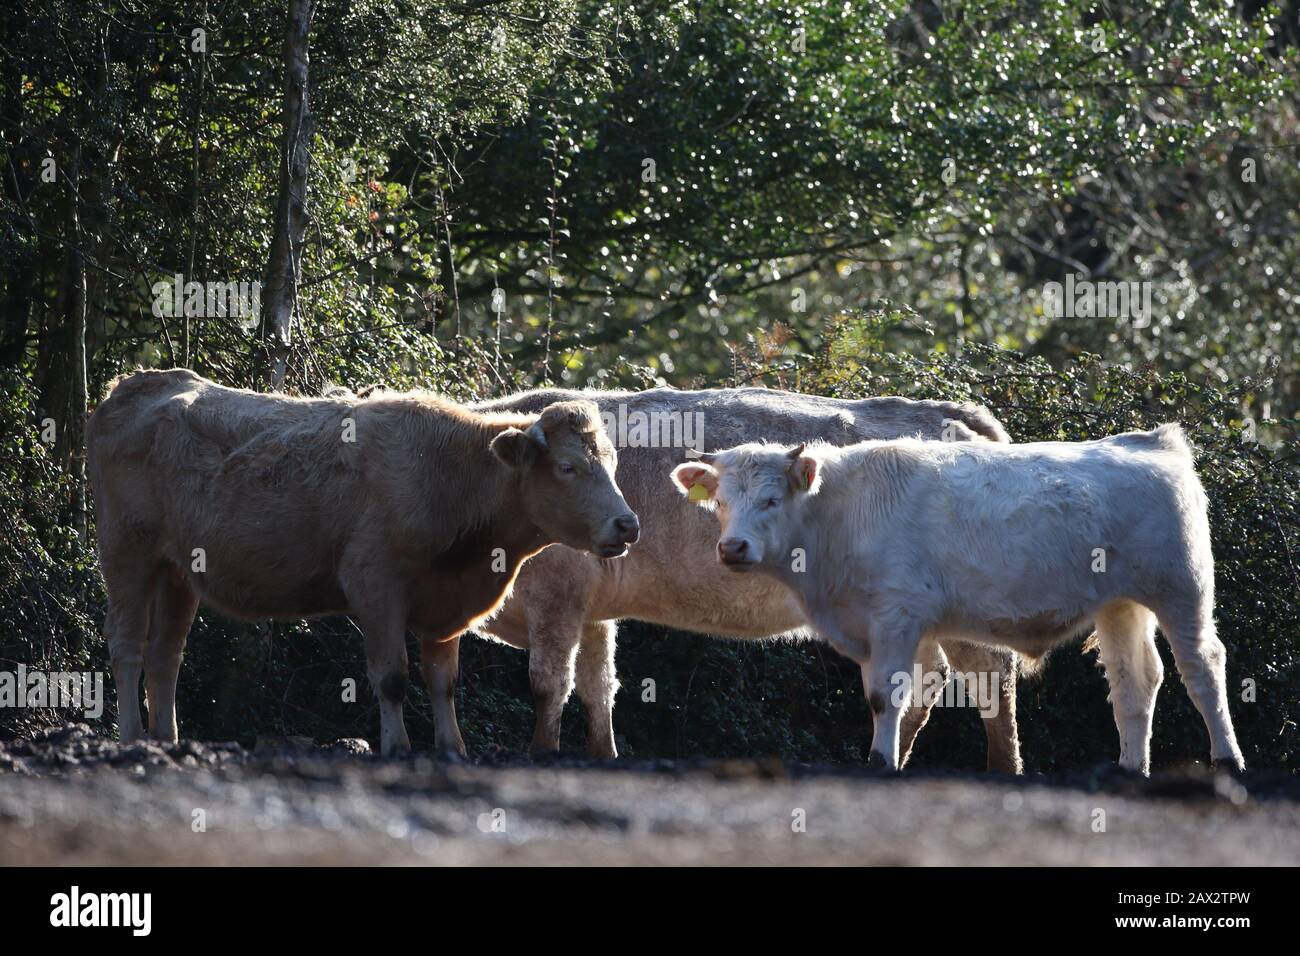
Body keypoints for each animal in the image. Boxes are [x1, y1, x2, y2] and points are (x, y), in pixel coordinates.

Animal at [85, 368, 639, 755]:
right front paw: (397, 746)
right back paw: (133, 737)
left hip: (177, 570)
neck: (448, 473)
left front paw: (452, 748)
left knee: (165, 655)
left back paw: (166, 739)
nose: (627, 525)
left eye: (612, 463)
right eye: (567, 467)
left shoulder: (445, 602)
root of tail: (139, 382)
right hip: (127, 552)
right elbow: (392, 675)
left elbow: (443, 681)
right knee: (127, 645)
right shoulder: (376, 584)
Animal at [417, 386, 1024, 773]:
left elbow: (549, 683)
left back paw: (1002, 767)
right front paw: (604, 756)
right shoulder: (593, 608)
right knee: (926, 680)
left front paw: (543, 753)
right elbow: (598, 686)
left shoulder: (555, 596)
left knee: (990, 680)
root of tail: (959, 415)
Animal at [671, 425, 1246, 774]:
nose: (732, 548)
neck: (837, 514)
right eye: (720, 503)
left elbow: (886, 696)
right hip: (1120, 605)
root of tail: (1151, 441)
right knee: (1134, 683)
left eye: (771, 500)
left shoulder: (896, 617)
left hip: (1182, 591)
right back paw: (1130, 769)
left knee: (1202, 670)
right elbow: (882, 696)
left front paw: (881, 763)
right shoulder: (870, 629)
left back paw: (1227, 761)